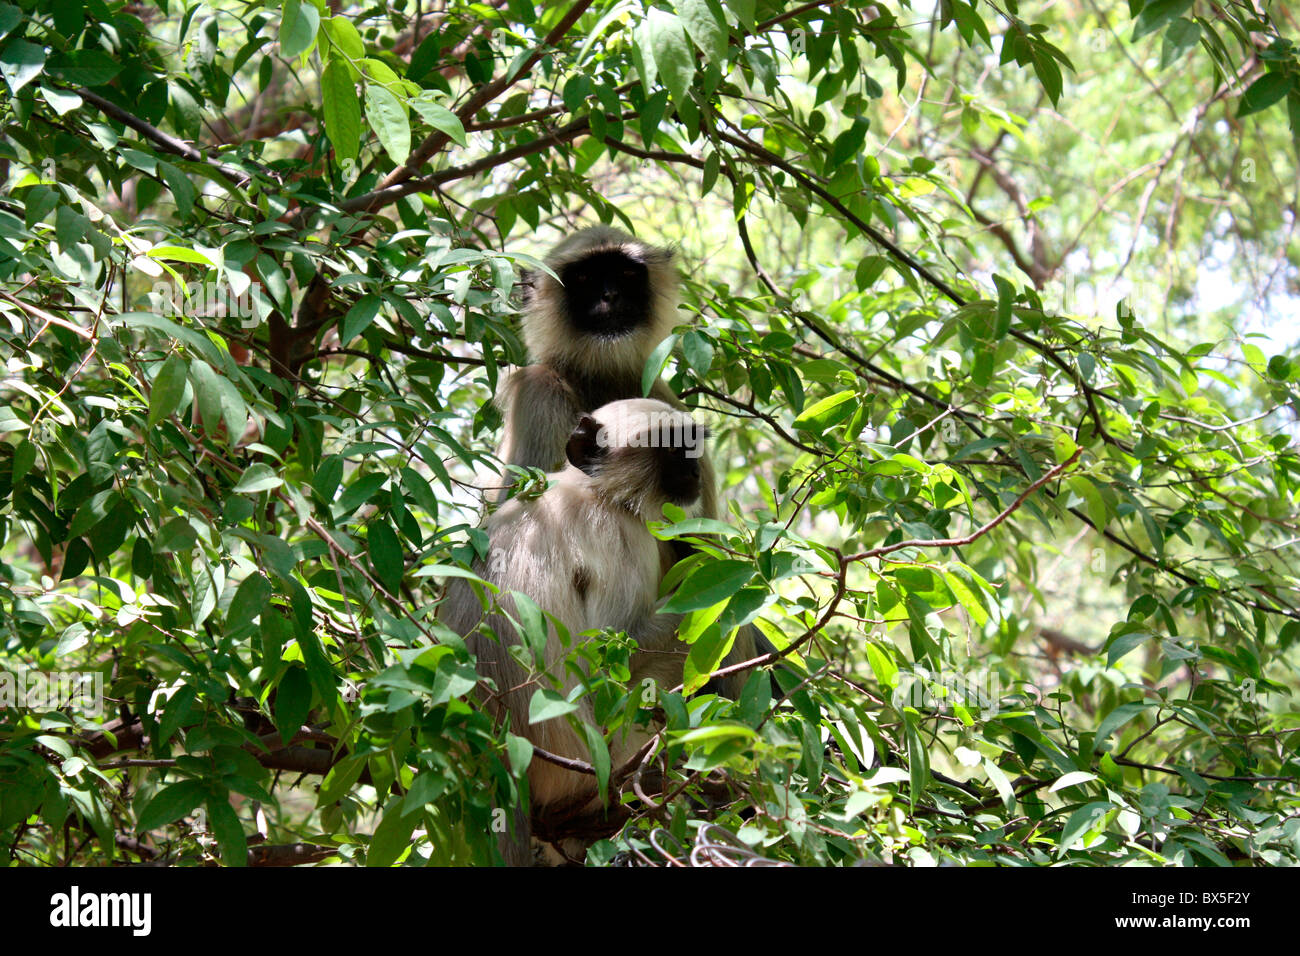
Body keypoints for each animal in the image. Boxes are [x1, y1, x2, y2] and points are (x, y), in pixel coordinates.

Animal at [440, 398, 709, 864]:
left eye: (691, 445)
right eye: (674, 451)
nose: (694, 471)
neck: (593, 487)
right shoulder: (619, 534)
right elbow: (612, 656)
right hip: (595, 765)